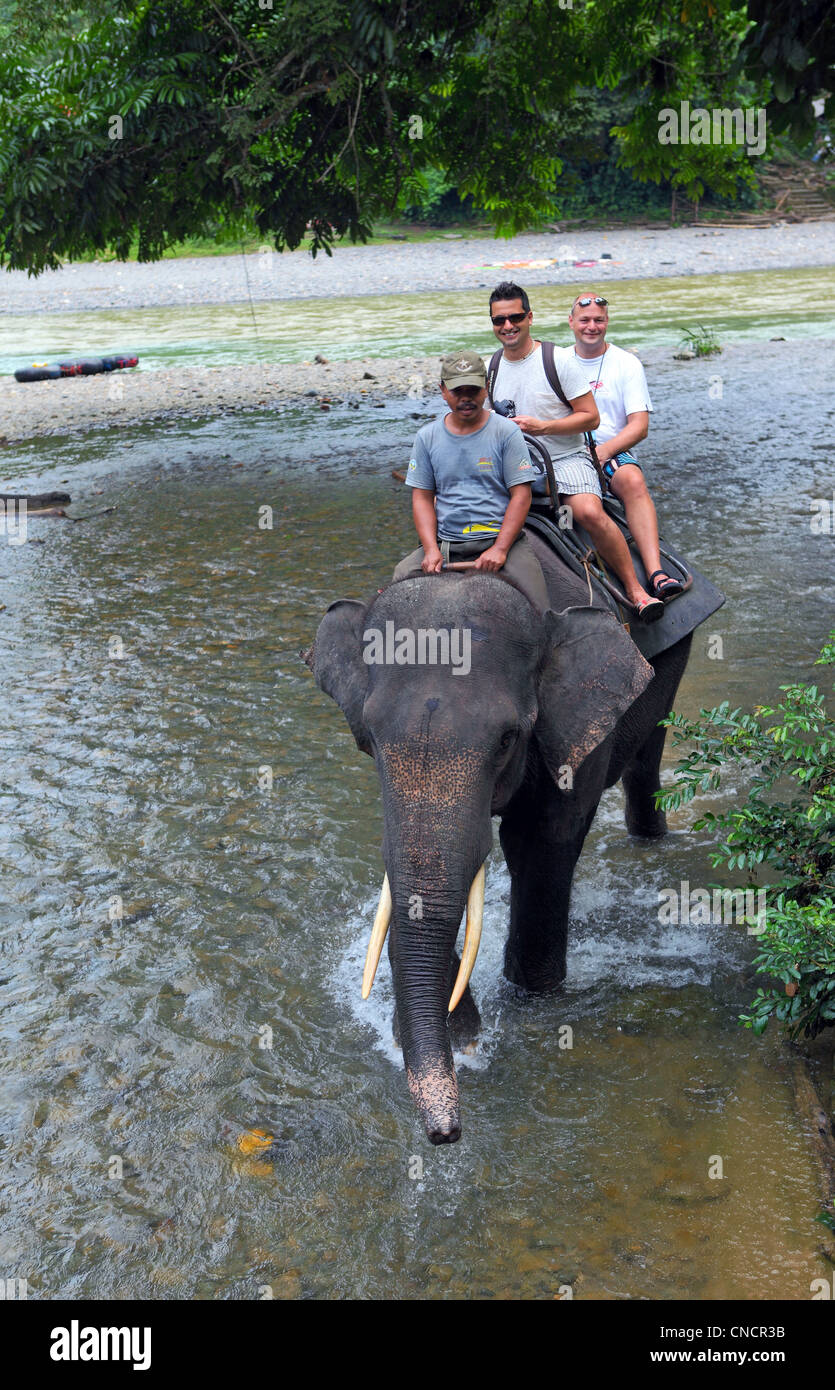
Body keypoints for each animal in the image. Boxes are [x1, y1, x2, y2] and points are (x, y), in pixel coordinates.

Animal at [305, 535, 693, 1145]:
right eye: (368, 739)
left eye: (508, 738)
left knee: (646, 756)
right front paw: (461, 1035)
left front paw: (532, 995)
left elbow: (540, 838)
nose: (445, 1135)